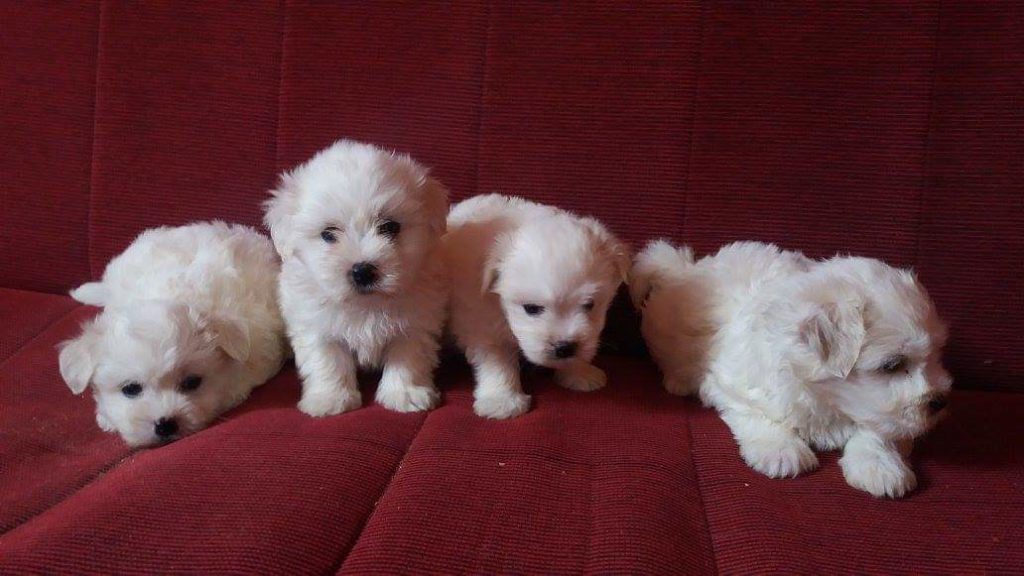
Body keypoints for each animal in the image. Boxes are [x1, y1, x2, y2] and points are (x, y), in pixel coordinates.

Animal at [266, 140, 450, 416]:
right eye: (328, 233)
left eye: (390, 227)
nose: (362, 271)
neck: (366, 304)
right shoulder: (316, 324)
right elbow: (327, 360)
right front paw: (330, 398)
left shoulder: (416, 321)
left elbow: (407, 357)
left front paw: (404, 394)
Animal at [442, 192, 626, 416]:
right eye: (531, 309)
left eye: (589, 304)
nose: (565, 348)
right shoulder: (481, 321)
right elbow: (497, 360)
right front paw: (503, 400)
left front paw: (579, 372)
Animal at [630, 239, 950, 496]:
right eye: (892, 365)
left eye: (936, 355)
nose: (940, 402)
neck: (827, 400)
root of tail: (685, 268)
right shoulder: (729, 385)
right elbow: (759, 415)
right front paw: (781, 452)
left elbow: (879, 431)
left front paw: (881, 468)